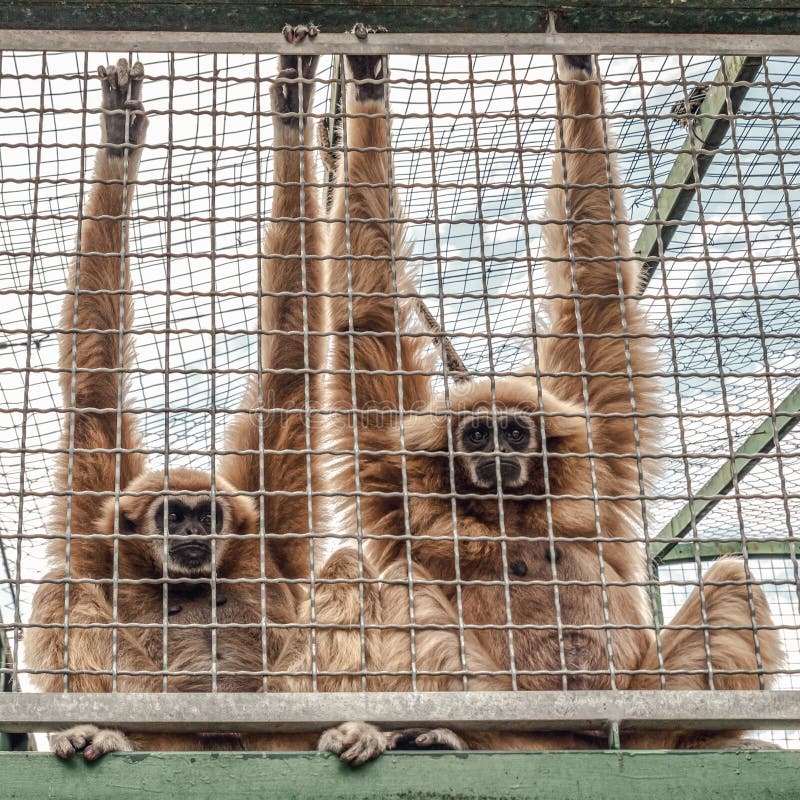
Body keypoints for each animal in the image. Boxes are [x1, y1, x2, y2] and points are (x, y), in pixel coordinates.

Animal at [312, 53, 783, 762]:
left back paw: (691, 736)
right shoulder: (395, 472)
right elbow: (365, 320)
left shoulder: (595, 449)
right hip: (516, 723)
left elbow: (595, 290)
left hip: (641, 695)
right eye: (477, 434)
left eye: (512, 432)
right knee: (383, 575)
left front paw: (576, 61)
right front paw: (366, 83)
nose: (499, 452)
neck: (511, 511)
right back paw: (440, 731)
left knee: (728, 576)